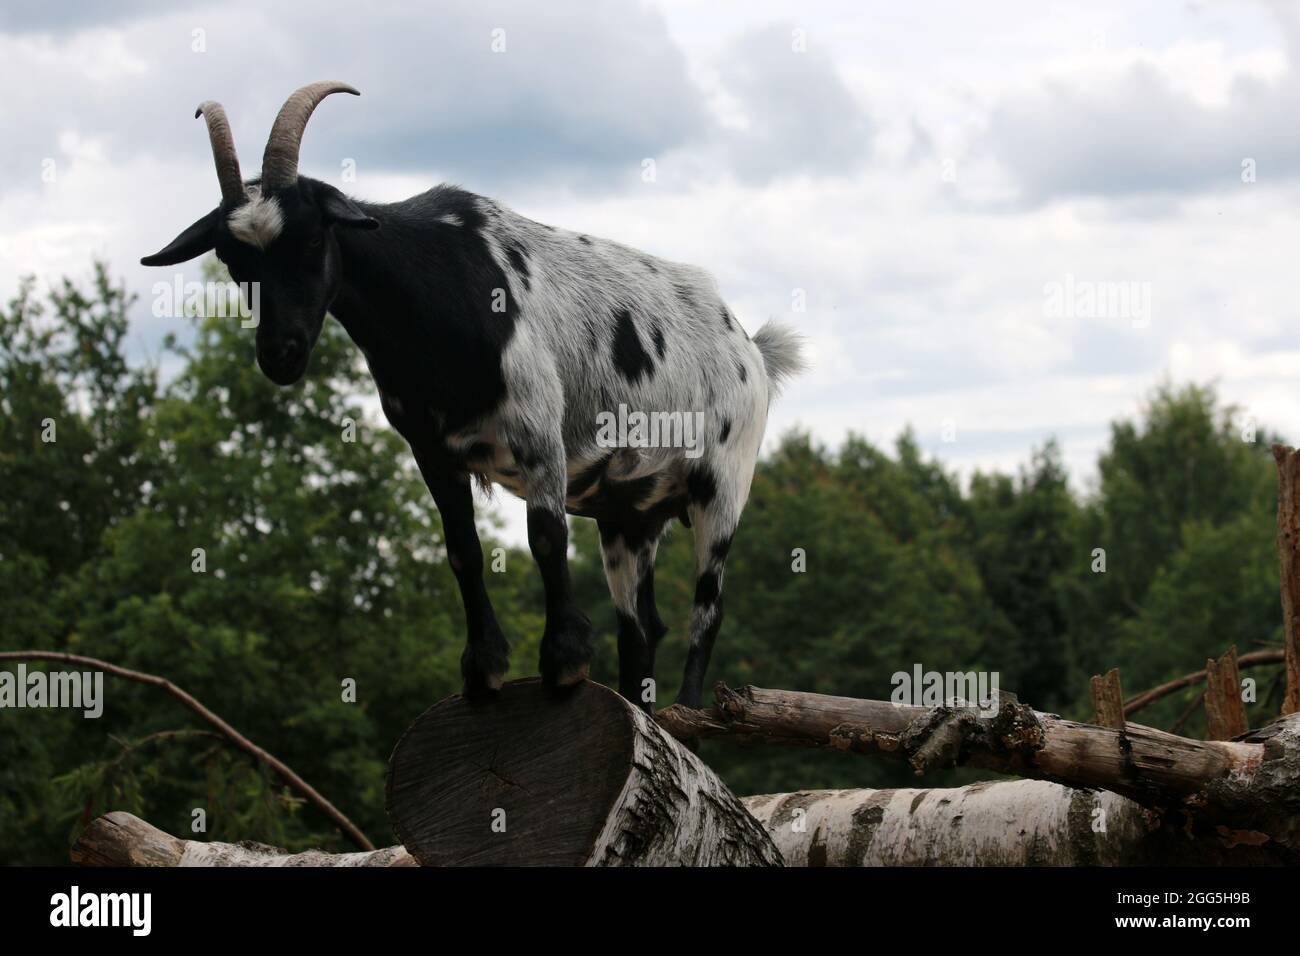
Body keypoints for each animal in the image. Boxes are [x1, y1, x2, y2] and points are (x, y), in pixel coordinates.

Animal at [142, 82, 806, 710]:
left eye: (310, 239)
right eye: (233, 259)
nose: (280, 352)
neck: (438, 291)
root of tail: (750, 346)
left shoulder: (537, 427)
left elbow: (545, 535)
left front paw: (564, 661)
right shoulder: (431, 448)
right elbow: (462, 548)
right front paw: (483, 669)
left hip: (723, 483)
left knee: (707, 607)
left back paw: (689, 712)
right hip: (629, 515)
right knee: (643, 624)